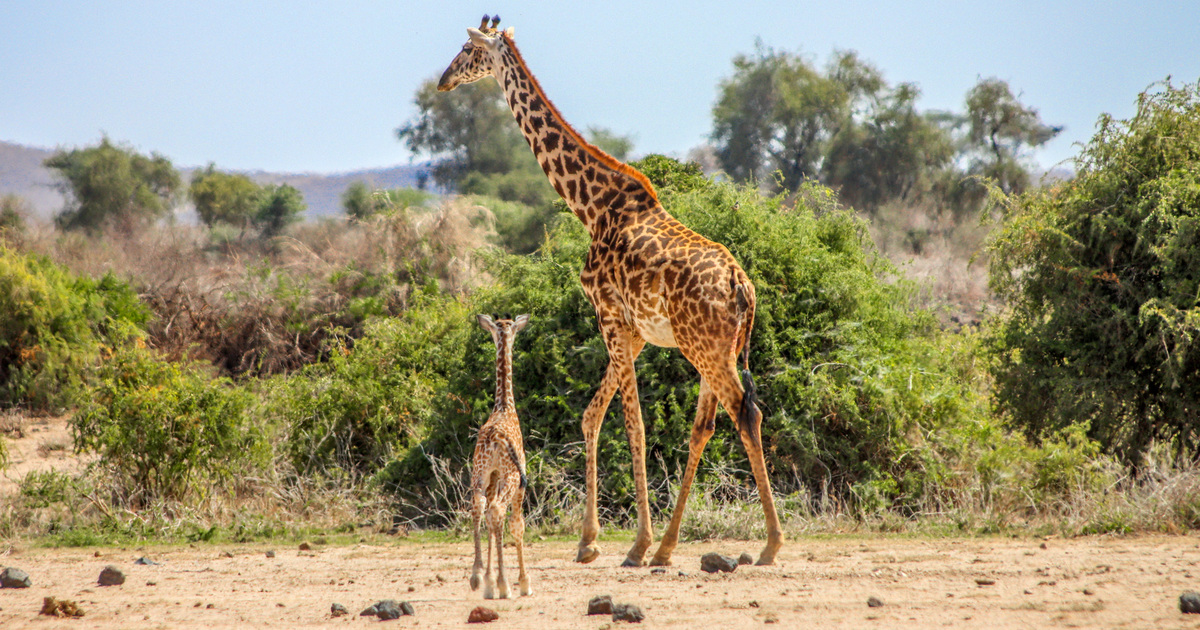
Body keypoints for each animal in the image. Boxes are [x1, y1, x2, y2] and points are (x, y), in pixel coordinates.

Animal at [437, 15, 783, 567]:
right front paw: (591, 540)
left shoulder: (609, 315)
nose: (443, 80)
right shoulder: (634, 330)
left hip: (704, 348)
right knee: (706, 425)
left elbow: (633, 425)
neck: (591, 206)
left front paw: (632, 543)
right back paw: (668, 547)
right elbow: (592, 415)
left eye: (468, 51)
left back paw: (768, 543)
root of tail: (742, 287)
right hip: (713, 348)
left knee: (745, 413)